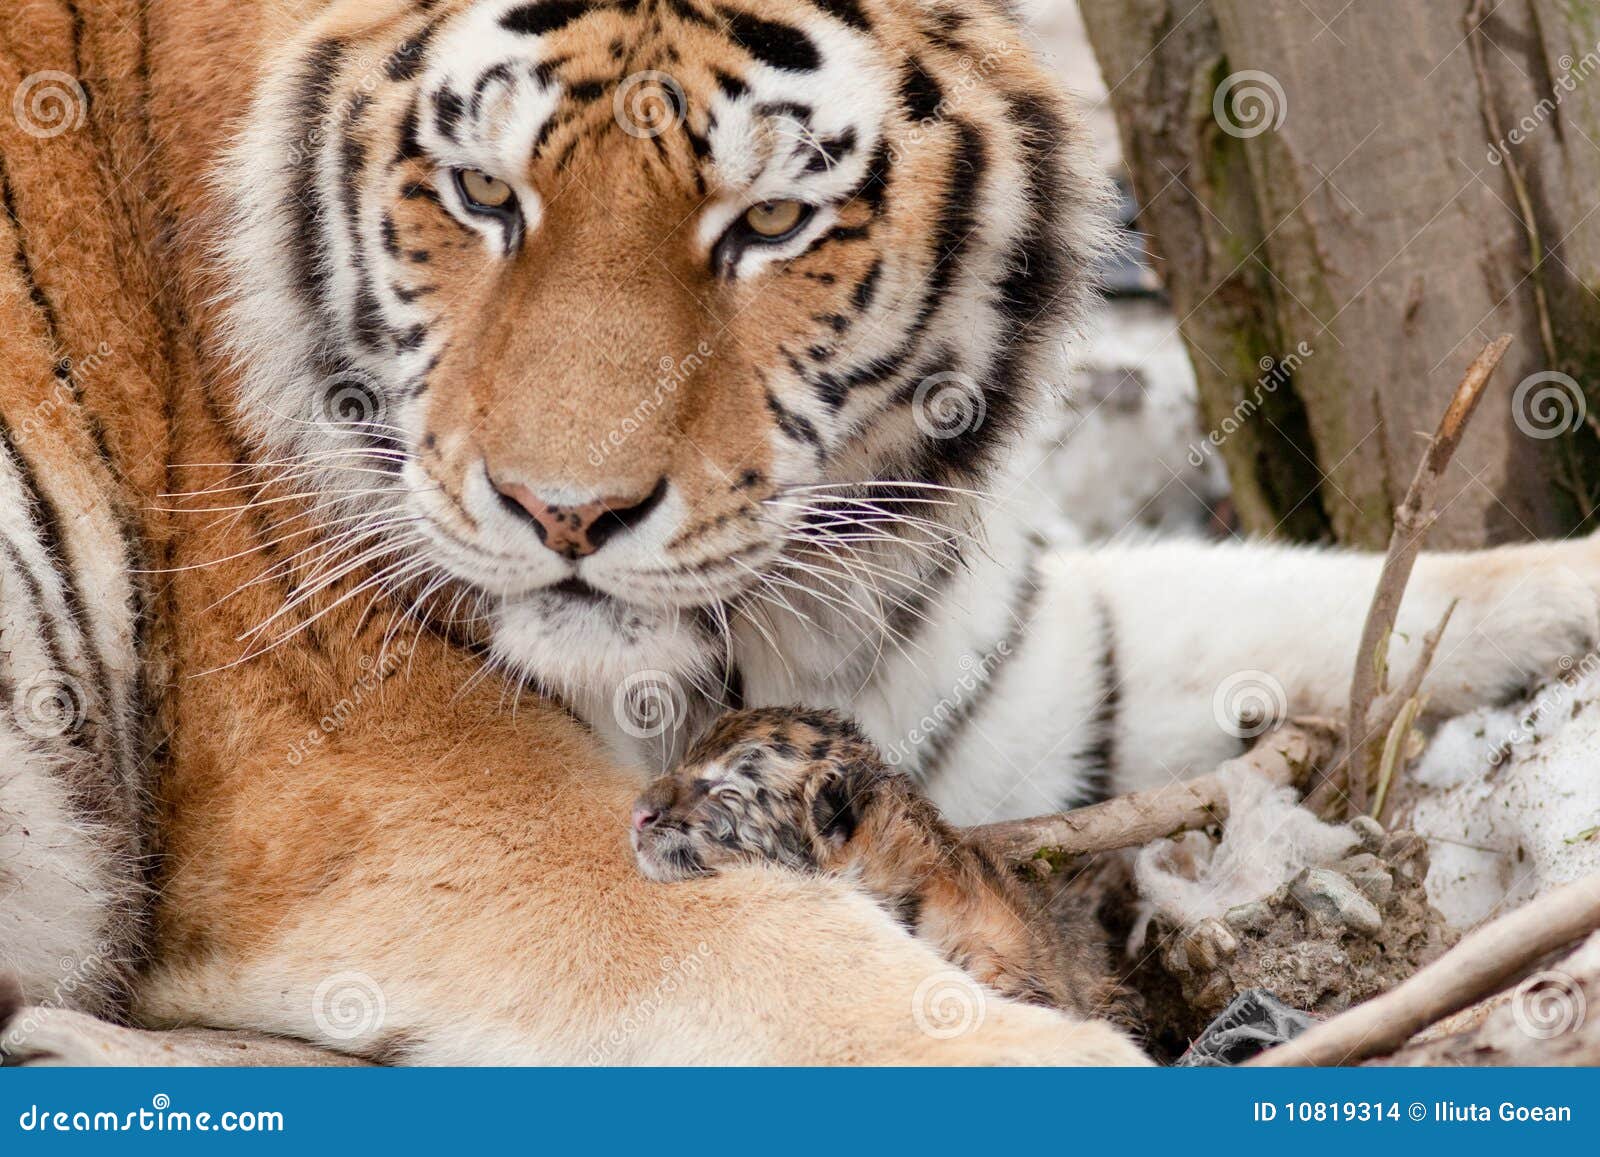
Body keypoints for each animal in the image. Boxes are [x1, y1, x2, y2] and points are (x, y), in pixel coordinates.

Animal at [1, 0, 1597, 1066]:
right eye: (481, 194)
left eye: (769, 220)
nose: (565, 513)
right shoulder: (384, 787)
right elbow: (737, 946)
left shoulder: (981, 653)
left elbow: (1284, 611)